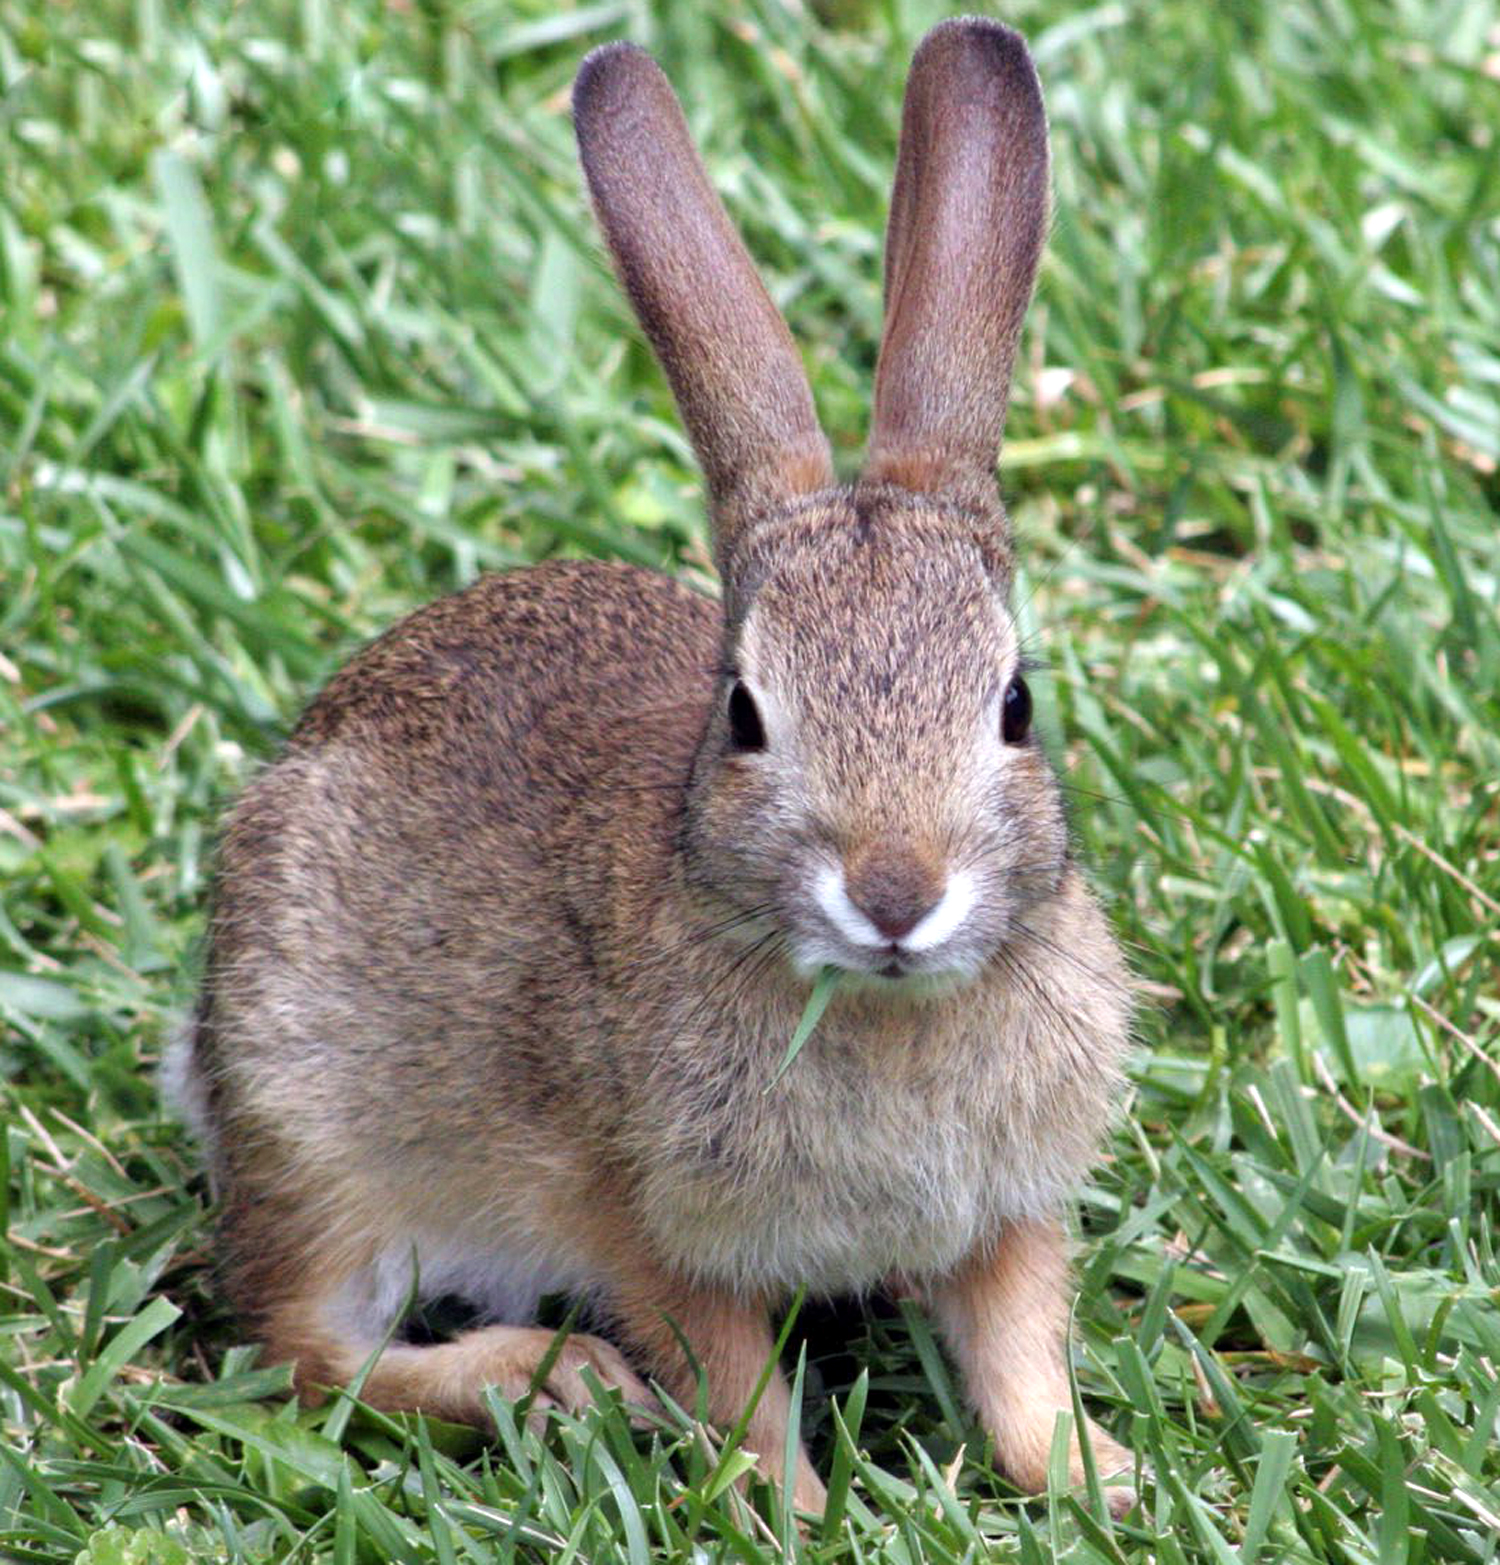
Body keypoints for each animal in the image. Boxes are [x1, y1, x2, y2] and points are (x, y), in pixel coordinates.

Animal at [170, 16, 1134, 1517]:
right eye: (744, 714)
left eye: (1015, 703)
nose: (897, 894)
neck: (877, 1009)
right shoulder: (646, 1220)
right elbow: (731, 1379)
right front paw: (798, 1511)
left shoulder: (1010, 1207)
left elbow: (1021, 1356)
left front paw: (1094, 1476)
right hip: (319, 1133)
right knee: (304, 1354)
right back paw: (552, 1378)